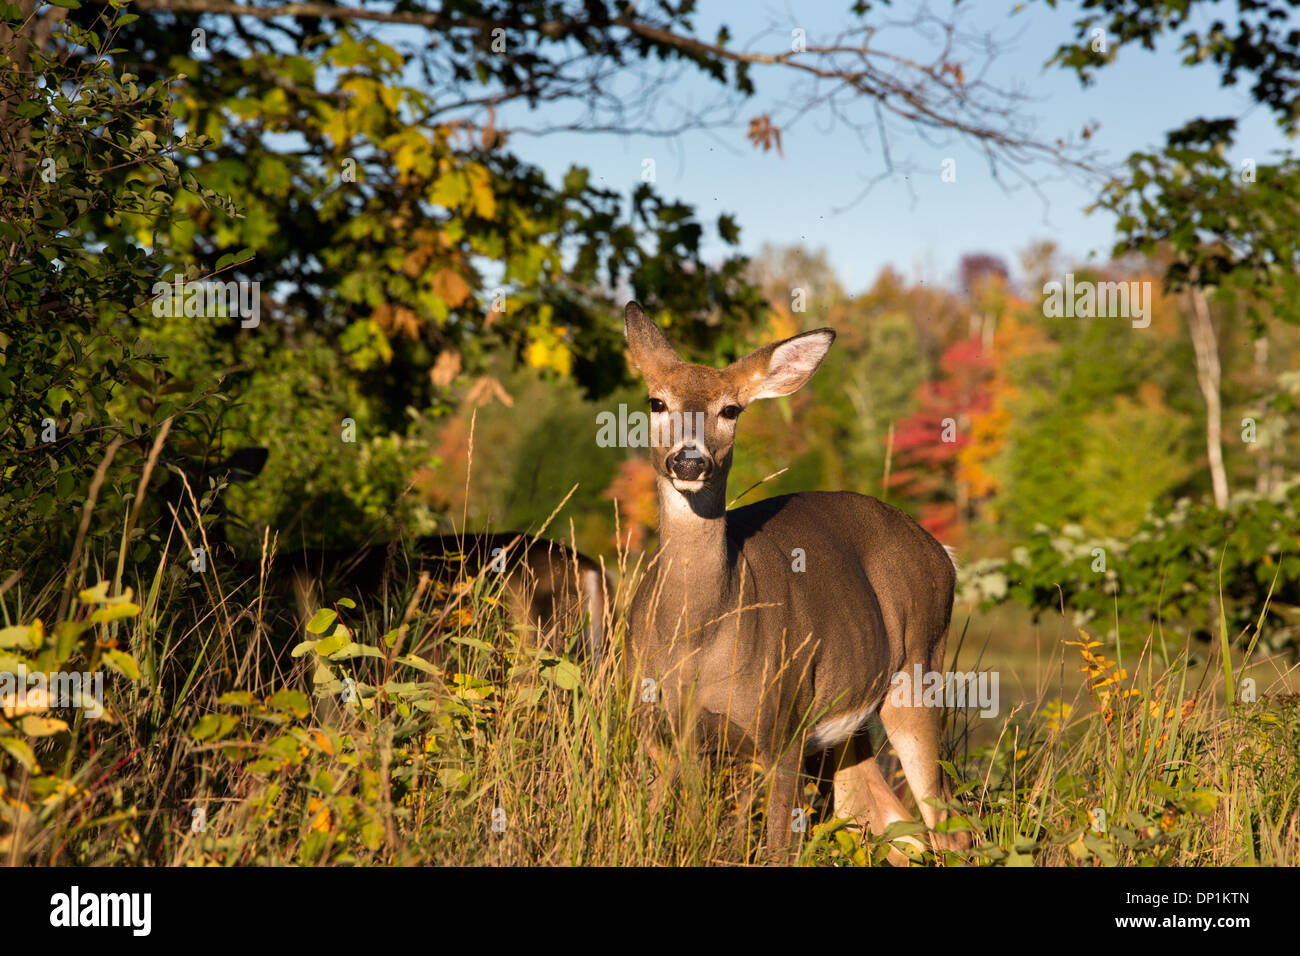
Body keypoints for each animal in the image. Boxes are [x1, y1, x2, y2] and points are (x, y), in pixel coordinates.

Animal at [622, 300, 969, 859]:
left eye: (731, 410)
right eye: (657, 401)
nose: (690, 460)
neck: (698, 636)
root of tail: (944, 553)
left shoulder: (782, 726)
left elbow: (775, 848)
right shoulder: (663, 733)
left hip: (918, 670)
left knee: (947, 826)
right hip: (847, 723)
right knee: (886, 819)